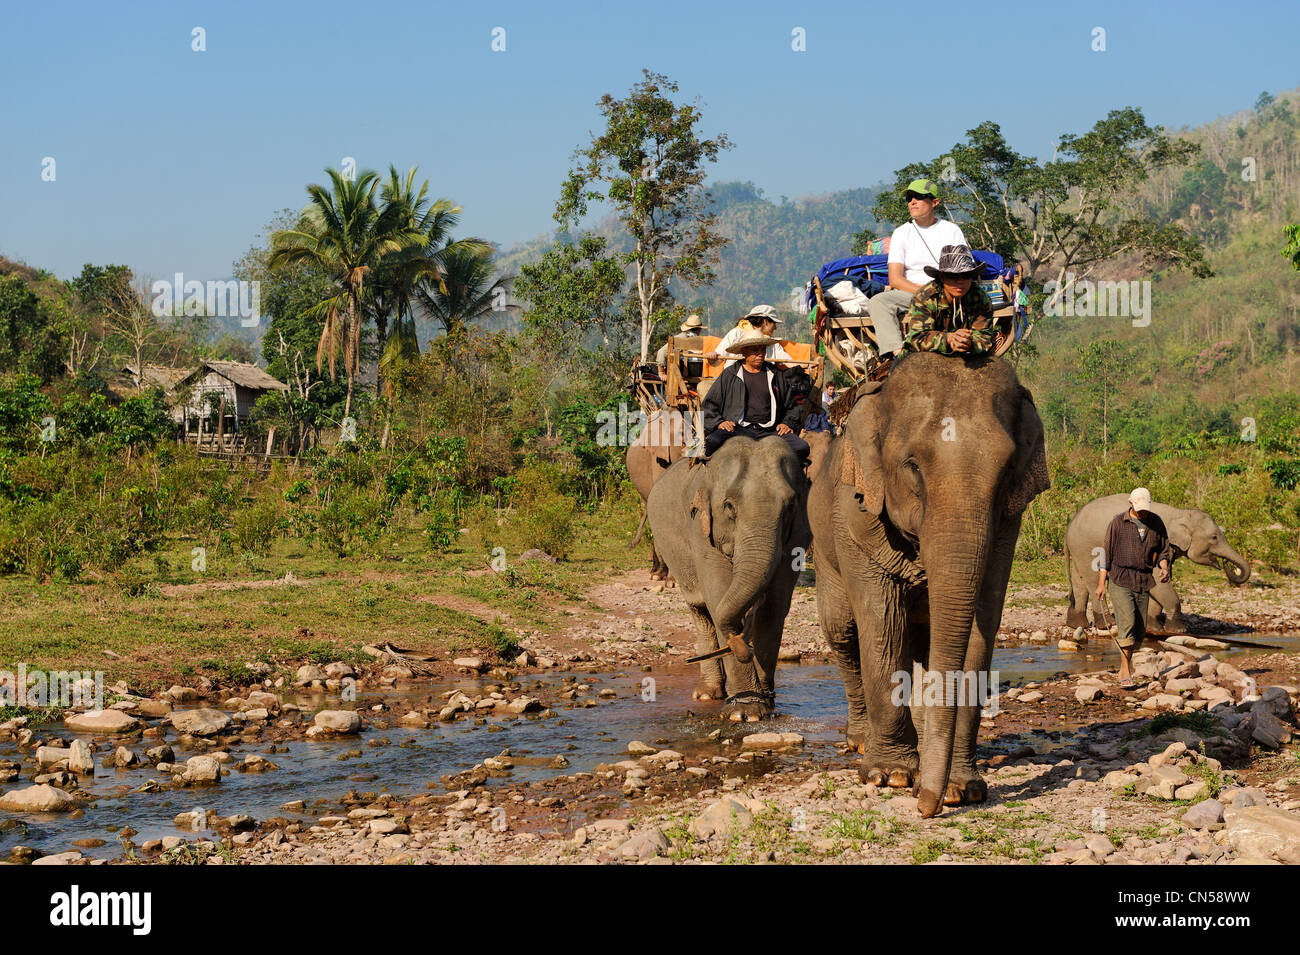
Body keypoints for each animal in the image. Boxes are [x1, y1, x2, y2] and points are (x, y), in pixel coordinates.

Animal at [647, 434, 811, 721]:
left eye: (790, 505)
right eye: (729, 506)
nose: (739, 643)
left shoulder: (798, 532)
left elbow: (775, 606)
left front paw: (765, 706)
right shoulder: (701, 532)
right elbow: (719, 595)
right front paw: (744, 713)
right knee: (701, 613)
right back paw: (707, 694)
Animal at [809, 352, 1050, 817]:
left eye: (1007, 470)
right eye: (913, 466)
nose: (927, 807)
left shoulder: (1008, 524)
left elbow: (980, 625)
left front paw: (962, 788)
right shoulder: (856, 513)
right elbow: (882, 625)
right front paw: (890, 776)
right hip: (821, 539)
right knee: (843, 630)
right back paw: (861, 741)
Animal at [1064, 494, 1250, 633]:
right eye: (1214, 537)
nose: (1225, 562)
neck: (1180, 513)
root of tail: (1071, 524)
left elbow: (1160, 579)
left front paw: (1154, 627)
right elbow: (1157, 581)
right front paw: (1179, 630)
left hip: (1079, 548)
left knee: (1079, 582)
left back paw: (1077, 624)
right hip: (1088, 546)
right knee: (1094, 579)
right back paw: (1108, 624)